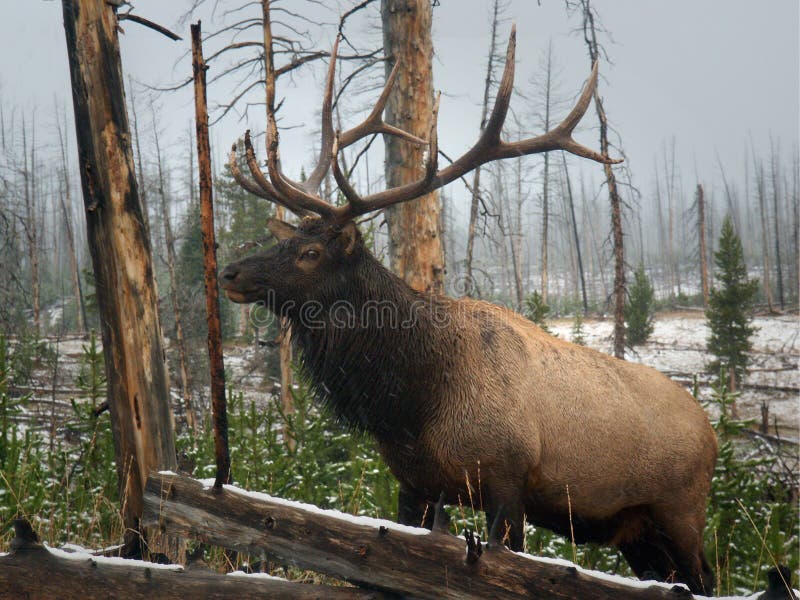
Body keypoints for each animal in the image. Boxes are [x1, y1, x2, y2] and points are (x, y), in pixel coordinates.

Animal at [220, 19, 718, 595]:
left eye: (309, 253)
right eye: (286, 241)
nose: (230, 273)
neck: (411, 404)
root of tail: (712, 434)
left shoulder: (508, 480)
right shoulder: (415, 484)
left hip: (681, 511)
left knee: (706, 578)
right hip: (637, 532)